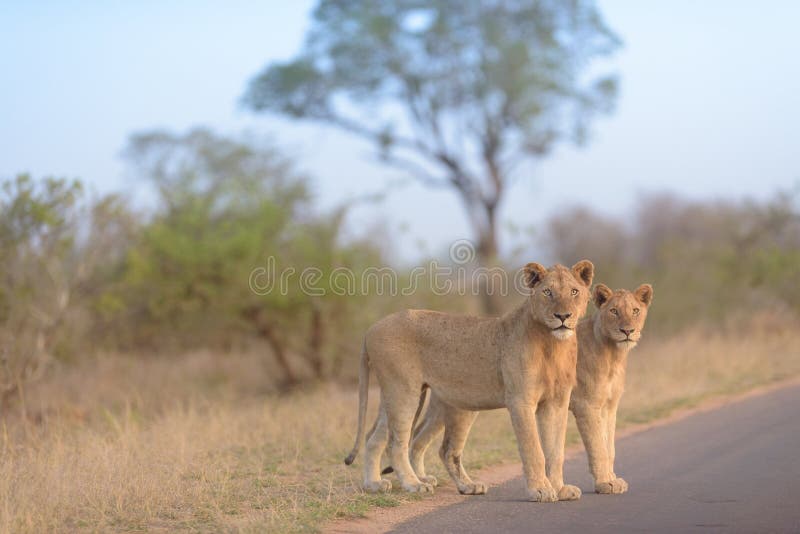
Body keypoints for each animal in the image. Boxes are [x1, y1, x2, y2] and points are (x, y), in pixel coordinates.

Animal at [344, 261, 595, 502]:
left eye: (574, 291)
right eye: (547, 292)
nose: (563, 316)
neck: (554, 345)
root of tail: (371, 328)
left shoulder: (556, 403)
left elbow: (555, 451)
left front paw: (560, 489)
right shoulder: (520, 401)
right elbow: (533, 449)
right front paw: (540, 490)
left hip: (407, 396)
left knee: (378, 440)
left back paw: (377, 484)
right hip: (404, 391)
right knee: (397, 444)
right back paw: (415, 484)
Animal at [403, 282, 653, 497]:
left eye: (635, 311)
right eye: (613, 311)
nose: (628, 331)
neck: (613, 354)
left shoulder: (609, 407)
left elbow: (609, 447)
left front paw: (611, 479)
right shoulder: (586, 405)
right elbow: (598, 446)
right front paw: (605, 483)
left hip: (445, 405)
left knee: (417, 438)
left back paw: (423, 479)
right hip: (459, 405)